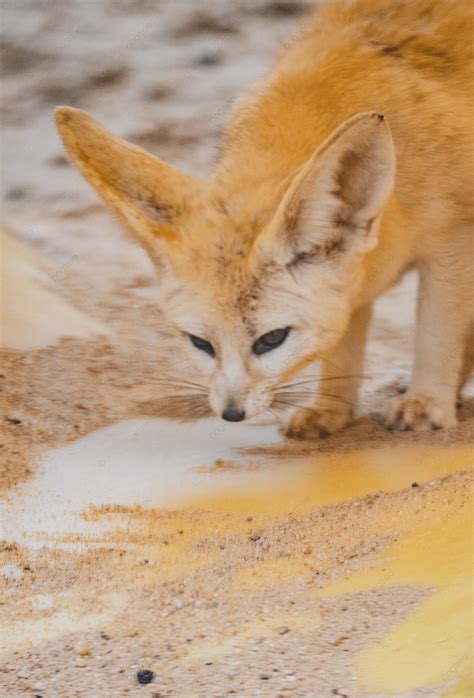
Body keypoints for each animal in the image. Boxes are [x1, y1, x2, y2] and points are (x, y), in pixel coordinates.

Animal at [55, 0, 473, 438]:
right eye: (201, 344)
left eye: (272, 339)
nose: (231, 413)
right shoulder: (357, 280)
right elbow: (342, 342)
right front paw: (330, 410)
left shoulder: (453, 243)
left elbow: (436, 334)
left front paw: (427, 402)